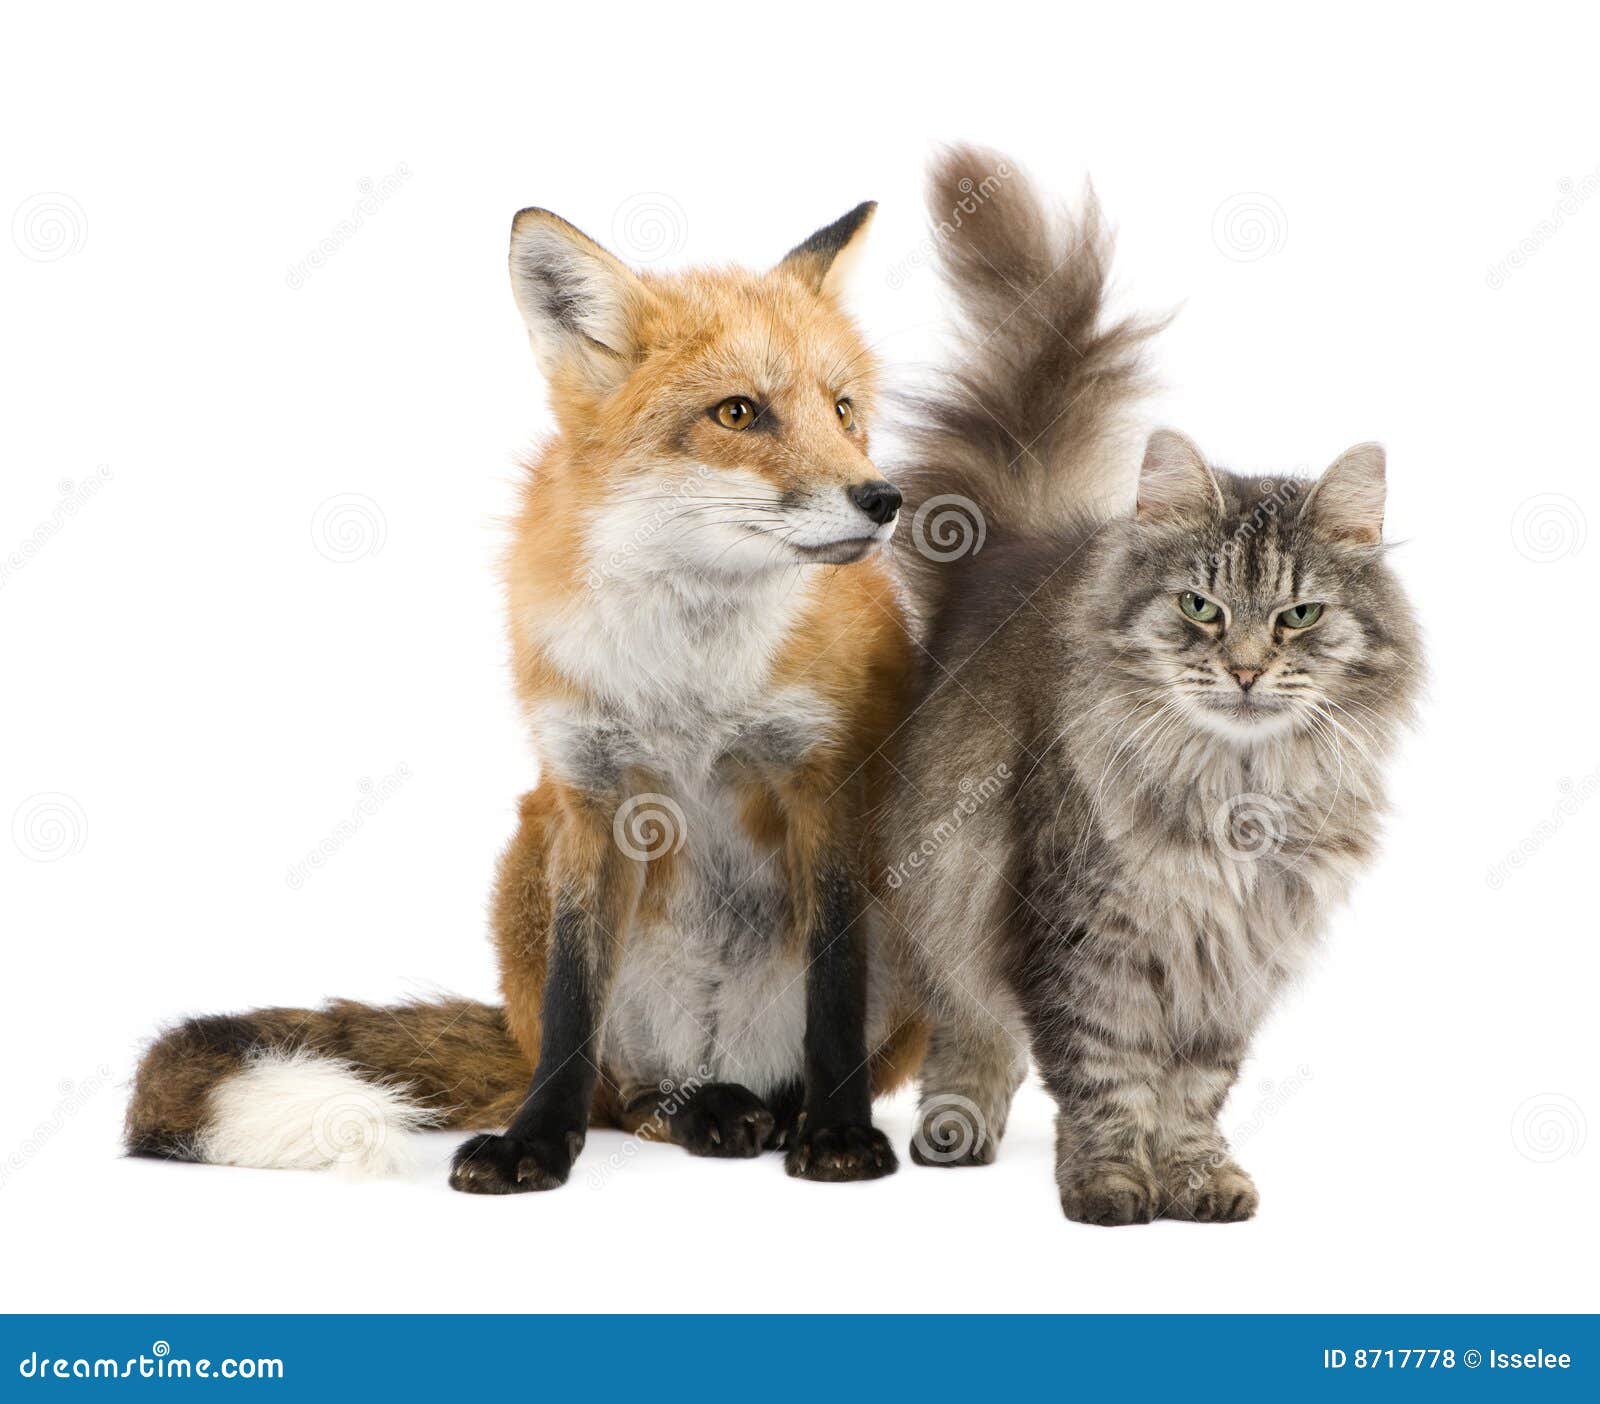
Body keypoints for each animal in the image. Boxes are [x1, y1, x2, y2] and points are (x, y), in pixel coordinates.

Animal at [125, 199, 928, 1190]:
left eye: (844, 410)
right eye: (738, 412)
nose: (884, 498)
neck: (692, 678)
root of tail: (724, 1052)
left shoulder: (824, 784)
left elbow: (834, 990)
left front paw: (841, 1132)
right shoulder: (593, 794)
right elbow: (573, 1011)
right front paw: (535, 1143)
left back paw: (781, 1114)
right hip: (528, 875)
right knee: (624, 1094)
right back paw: (705, 1111)